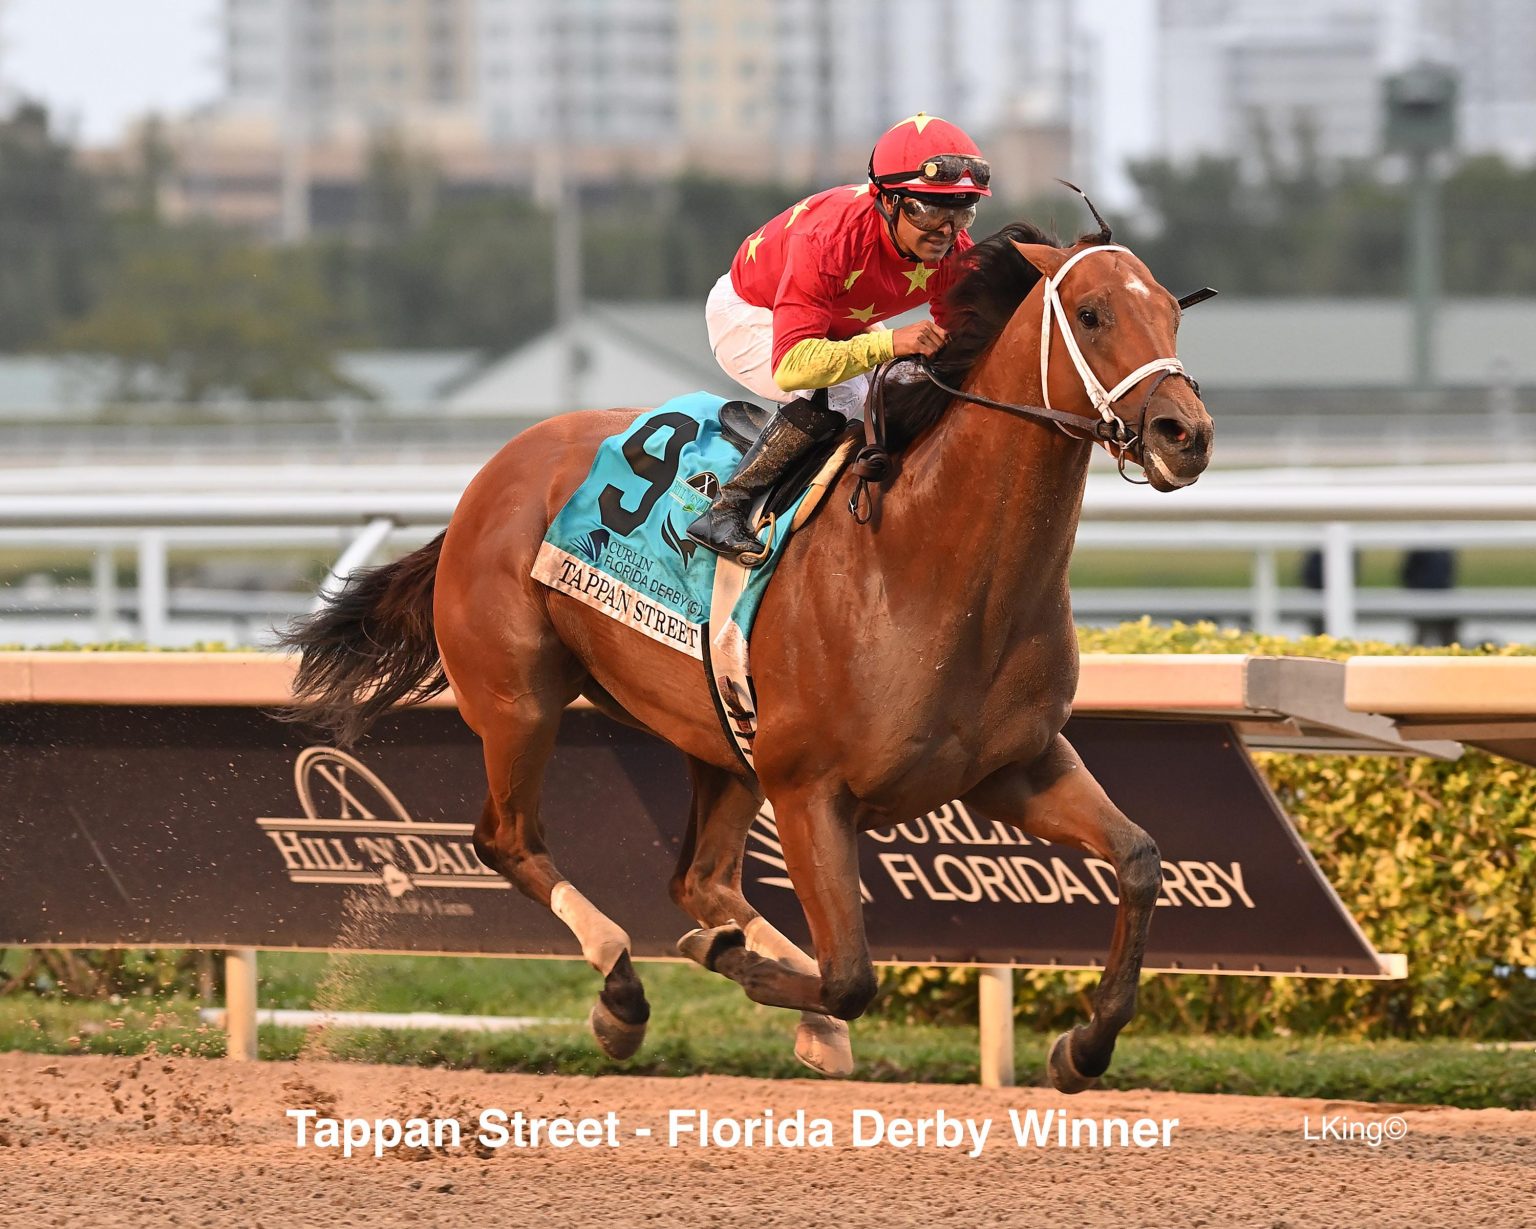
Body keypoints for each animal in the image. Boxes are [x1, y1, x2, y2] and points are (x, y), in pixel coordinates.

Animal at [282, 217, 1214, 1091]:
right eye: (1092, 314)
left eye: (1172, 311)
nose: (1186, 433)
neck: (930, 564)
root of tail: (493, 474)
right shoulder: (810, 789)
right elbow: (850, 974)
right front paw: (724, 960)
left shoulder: (1013, 767)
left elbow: (1139, 860)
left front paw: (1083, 1046)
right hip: (520, 701)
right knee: (508, 839)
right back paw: (624, 992)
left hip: (720, 735)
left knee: (699, 880)